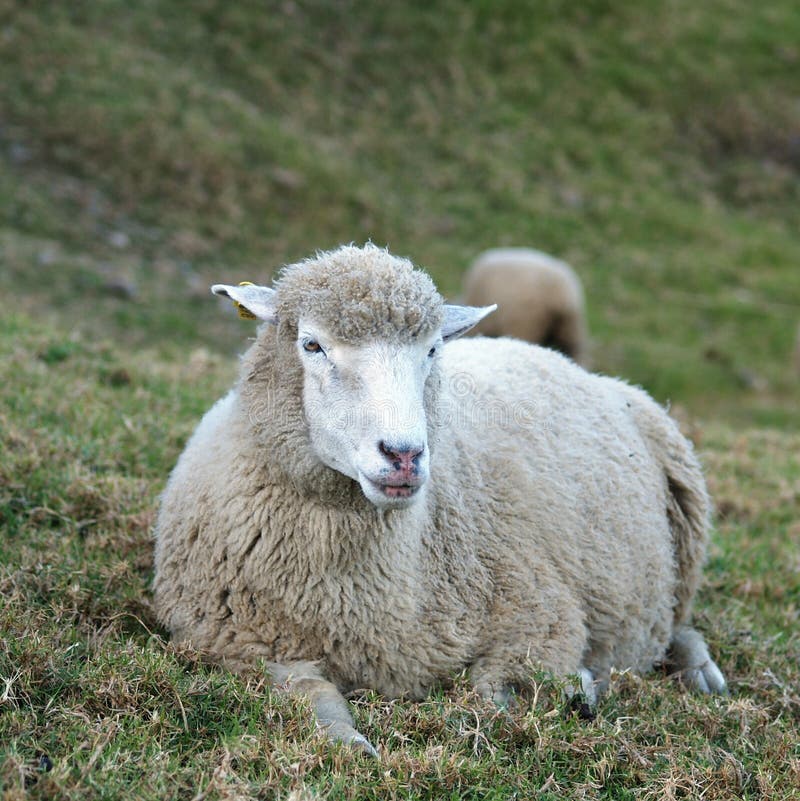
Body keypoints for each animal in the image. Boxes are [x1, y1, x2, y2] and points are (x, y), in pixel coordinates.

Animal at [153, 243, 725, 757]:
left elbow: (492, 692)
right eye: (311, 345)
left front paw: (576, 690)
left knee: (679, 626)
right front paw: (348, 742)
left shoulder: (540, 612)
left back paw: (703, 674)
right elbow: (310, 694)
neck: (344, 594)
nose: (403, 454)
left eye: (430, 350)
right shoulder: (237, 644)